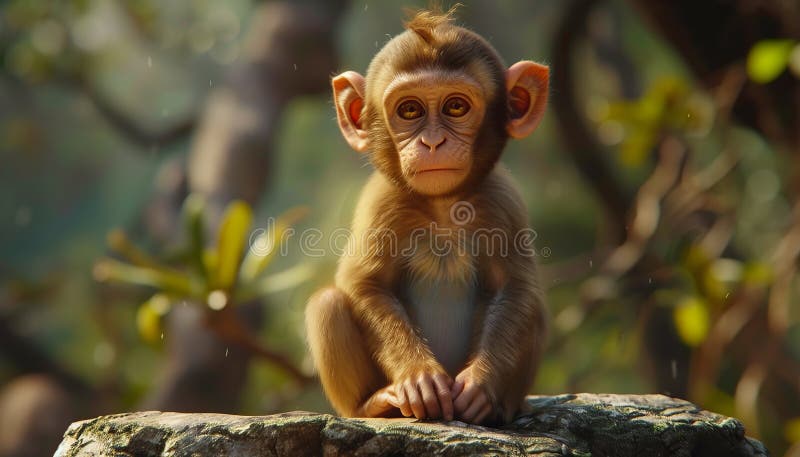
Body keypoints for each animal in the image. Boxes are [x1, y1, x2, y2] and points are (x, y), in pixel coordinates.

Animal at [305, 8, 549, 425]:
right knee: (328, 303)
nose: (433, 142)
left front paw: (480, 386)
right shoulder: (381, 204)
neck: (442, 206)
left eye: (456, 107)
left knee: (533, 306)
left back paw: (499, 408)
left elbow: (514, 287)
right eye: (410, 110)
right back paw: (375, 404)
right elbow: (365, 284)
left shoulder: (502, 200)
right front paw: (418, 378)